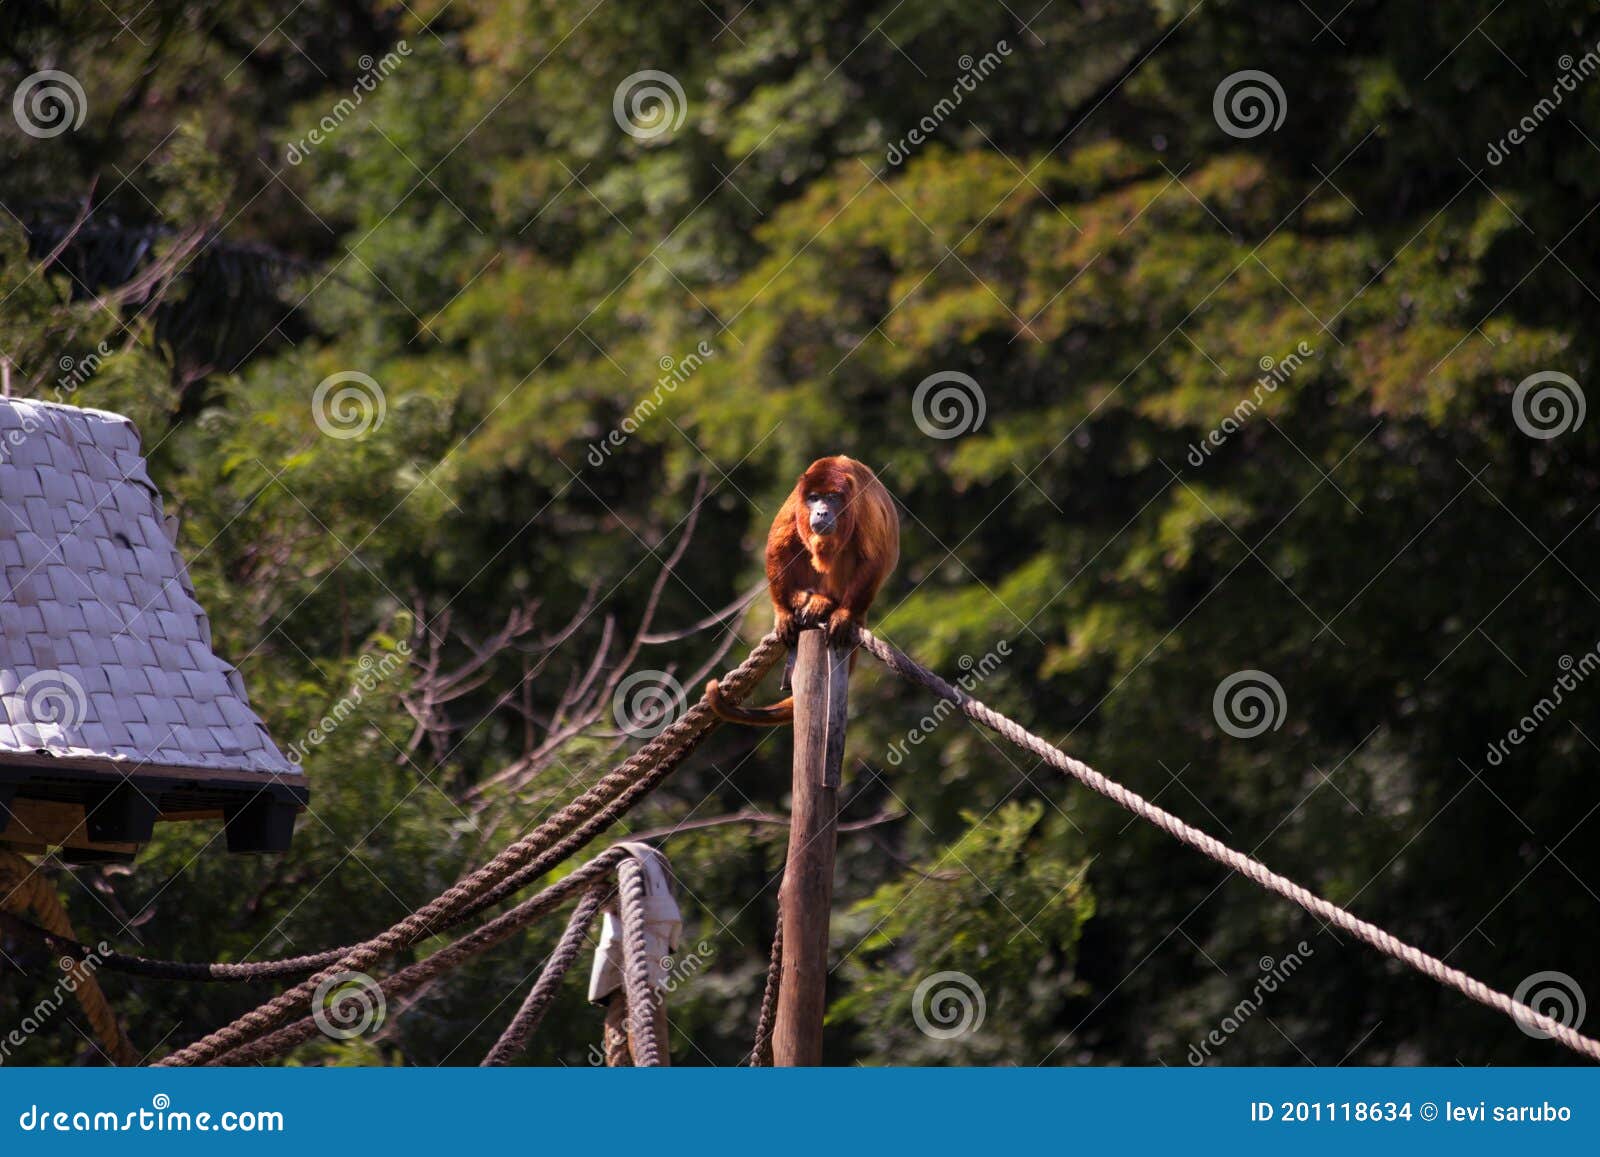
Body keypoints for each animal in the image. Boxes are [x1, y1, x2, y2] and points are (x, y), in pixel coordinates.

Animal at [706, 455, 900, 725]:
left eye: (832, 497)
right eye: (814, 497)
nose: (821, 511)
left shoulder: (864, 505)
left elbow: (874, 559)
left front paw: (843, 615)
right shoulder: (796, 501)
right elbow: (777, 547)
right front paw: (782, 613)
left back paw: (828, 603)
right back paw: (805, 598)